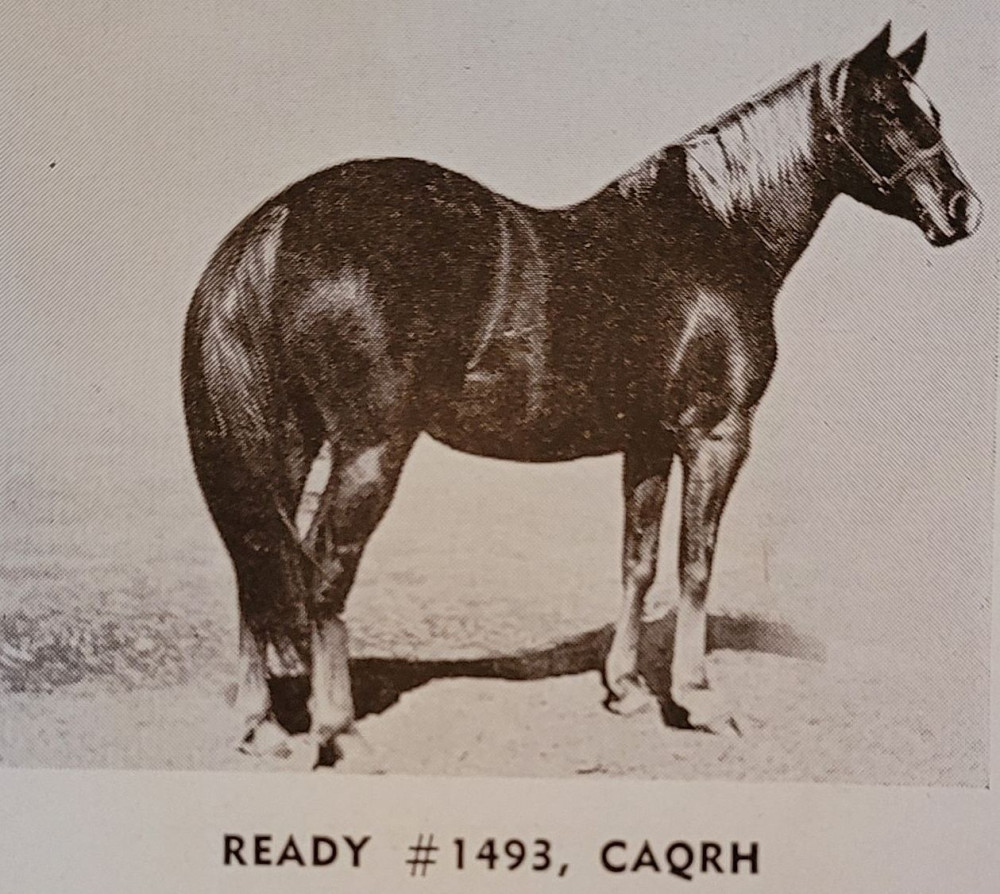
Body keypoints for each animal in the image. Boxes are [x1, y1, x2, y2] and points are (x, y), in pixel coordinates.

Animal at [182, 24, 982, 767]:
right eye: (887, 109)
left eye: (932, 109)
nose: (963, 210)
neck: (715, 235)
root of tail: (280, 220)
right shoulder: (717, 435)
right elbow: (696, 563)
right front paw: (700, 698)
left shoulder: (650, 441)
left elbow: (639, 560)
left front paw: (626, 688)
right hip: (370, 448)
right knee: (322, 570)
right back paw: (339, 732)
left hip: (286, 445)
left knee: (257, 560)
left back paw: (260, 727)